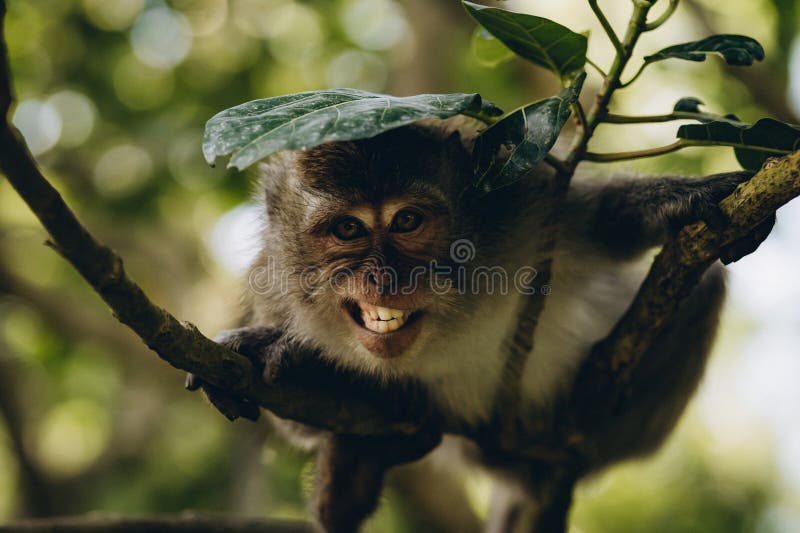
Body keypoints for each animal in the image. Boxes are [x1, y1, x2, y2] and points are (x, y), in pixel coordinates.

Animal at [186, 118, 775, 533]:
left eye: (408, 220)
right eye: (347, 229)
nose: (384, 277)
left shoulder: (521, 198)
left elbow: (598, 219)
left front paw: (683, 200)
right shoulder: (274, 290)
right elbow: (298, 423)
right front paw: (289, 358)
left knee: (703, 286)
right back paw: (364, 462)